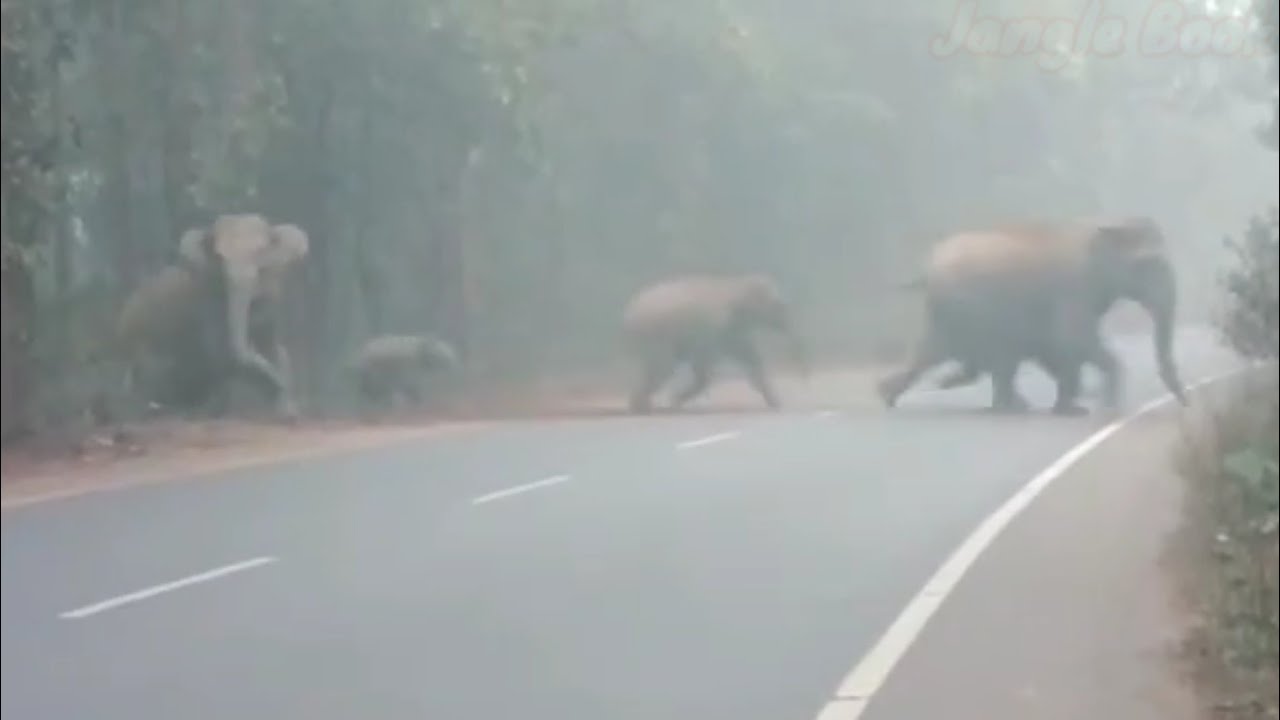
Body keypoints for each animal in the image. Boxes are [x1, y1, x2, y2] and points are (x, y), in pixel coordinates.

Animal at [621, 273, 808, 414]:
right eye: (781, 306)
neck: (736, 287)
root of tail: (629, 314)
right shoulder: (714, 326)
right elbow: (704, 364)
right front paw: (676, 398)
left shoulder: (732, 331)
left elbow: (749, 355)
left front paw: (774, 400)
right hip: (657, 334)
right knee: (662, 368)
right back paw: (642, 406)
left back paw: (642, 404)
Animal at [877, 216, 1188, 415]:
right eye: (1147, 264)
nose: (1186, 405)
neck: (1101, 227)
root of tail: (927, 268)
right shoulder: (1073, 288)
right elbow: (1073, 339)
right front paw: (1105, 410)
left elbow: (1064, 348)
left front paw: (1073, 409)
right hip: (968, 309)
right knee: (985, 356)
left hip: (950, 313)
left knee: (933, 351)